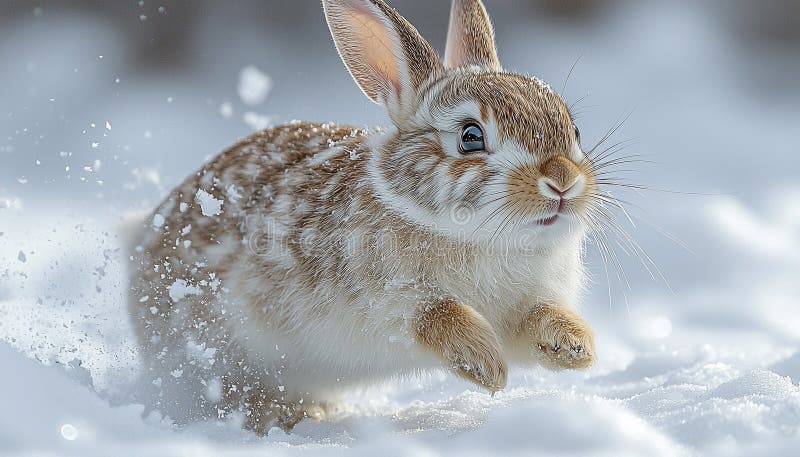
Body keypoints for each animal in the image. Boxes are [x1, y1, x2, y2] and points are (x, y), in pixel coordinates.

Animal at [127, 0, 598, 433]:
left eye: (573, 129)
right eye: (470, 137)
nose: (562, 181)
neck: (486, 238)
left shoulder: (525, 304)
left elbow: (533, 323)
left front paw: (575, 348)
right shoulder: (385, 301)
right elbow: (437, 315)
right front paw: (485, 365)